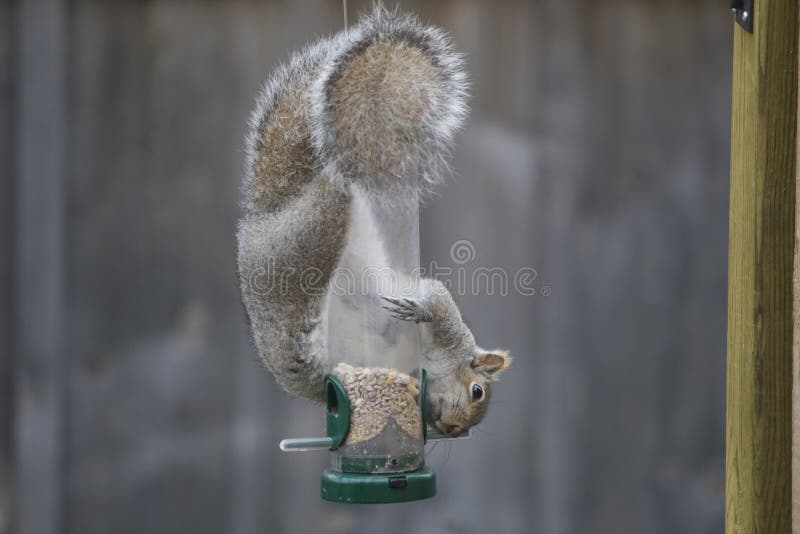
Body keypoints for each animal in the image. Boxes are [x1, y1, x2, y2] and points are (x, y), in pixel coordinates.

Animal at [237, 6, 511, 437]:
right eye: (477, 391)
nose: (453, 429)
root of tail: (262, 217)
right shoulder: (441, 316)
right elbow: (437, 302)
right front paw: (419, 312)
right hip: (306, 246)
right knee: (336, 182)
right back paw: (342, 169)